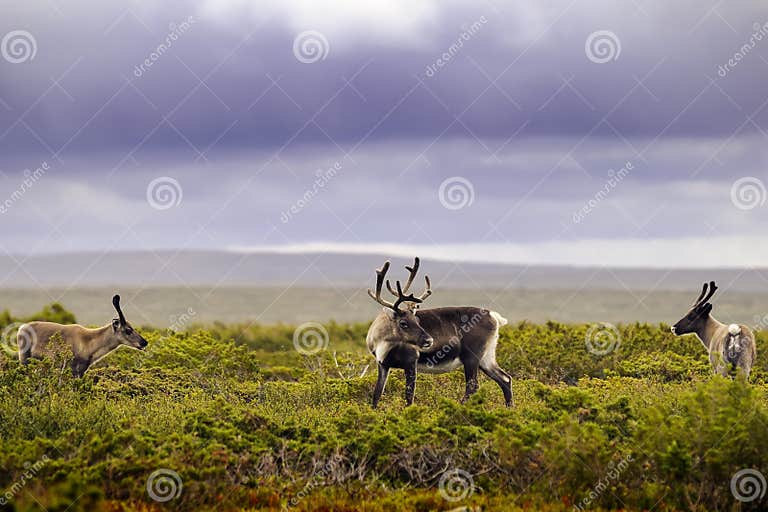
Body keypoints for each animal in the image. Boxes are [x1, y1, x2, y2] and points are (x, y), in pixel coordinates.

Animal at [17, 295, 148, 377]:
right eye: (128, 330)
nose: (144, 342)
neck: (89, 341)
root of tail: (21, 327)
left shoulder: (82, 370)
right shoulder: (74, 369)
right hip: (24, 358)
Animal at [366, 257, 512, 408]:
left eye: (416, 320)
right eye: (403, 323)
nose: (429, 340)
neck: (381, 342)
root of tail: (494, 316)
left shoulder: (411, 361)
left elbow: (409, 395)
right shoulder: (382, 364)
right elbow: (377, 394)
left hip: (472, 357)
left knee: (473, 386)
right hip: (487, 356)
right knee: (505, 379)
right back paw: (509, 408)